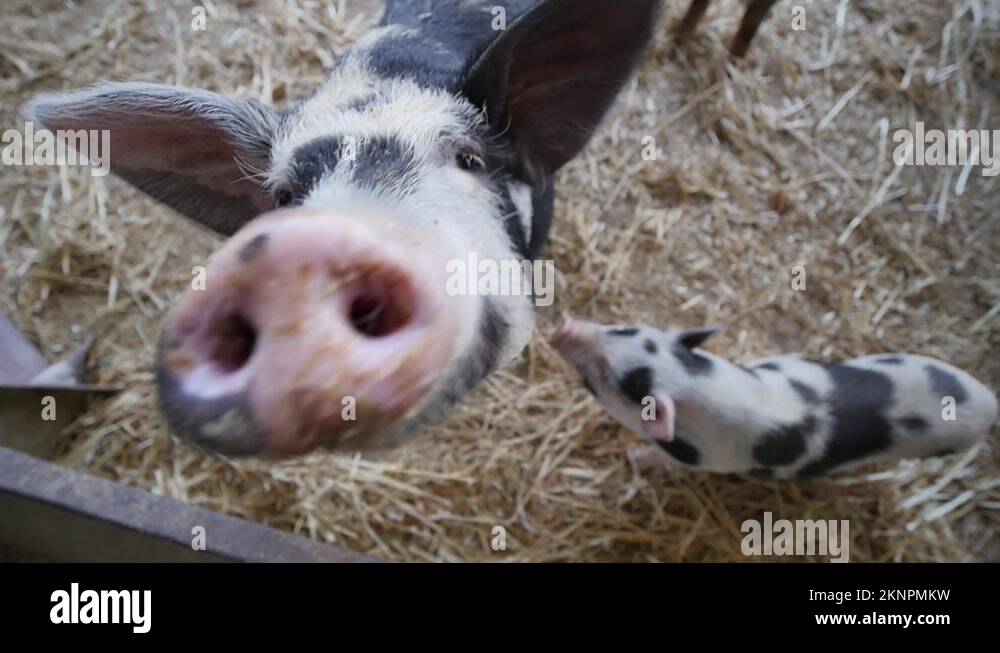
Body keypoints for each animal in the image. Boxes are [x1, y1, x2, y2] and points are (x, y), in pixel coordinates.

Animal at [552, 318, 998, 479]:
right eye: (624, 329)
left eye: (610, 378)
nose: (564, 327)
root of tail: (989, 402)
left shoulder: (713, 459)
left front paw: (637, 459)